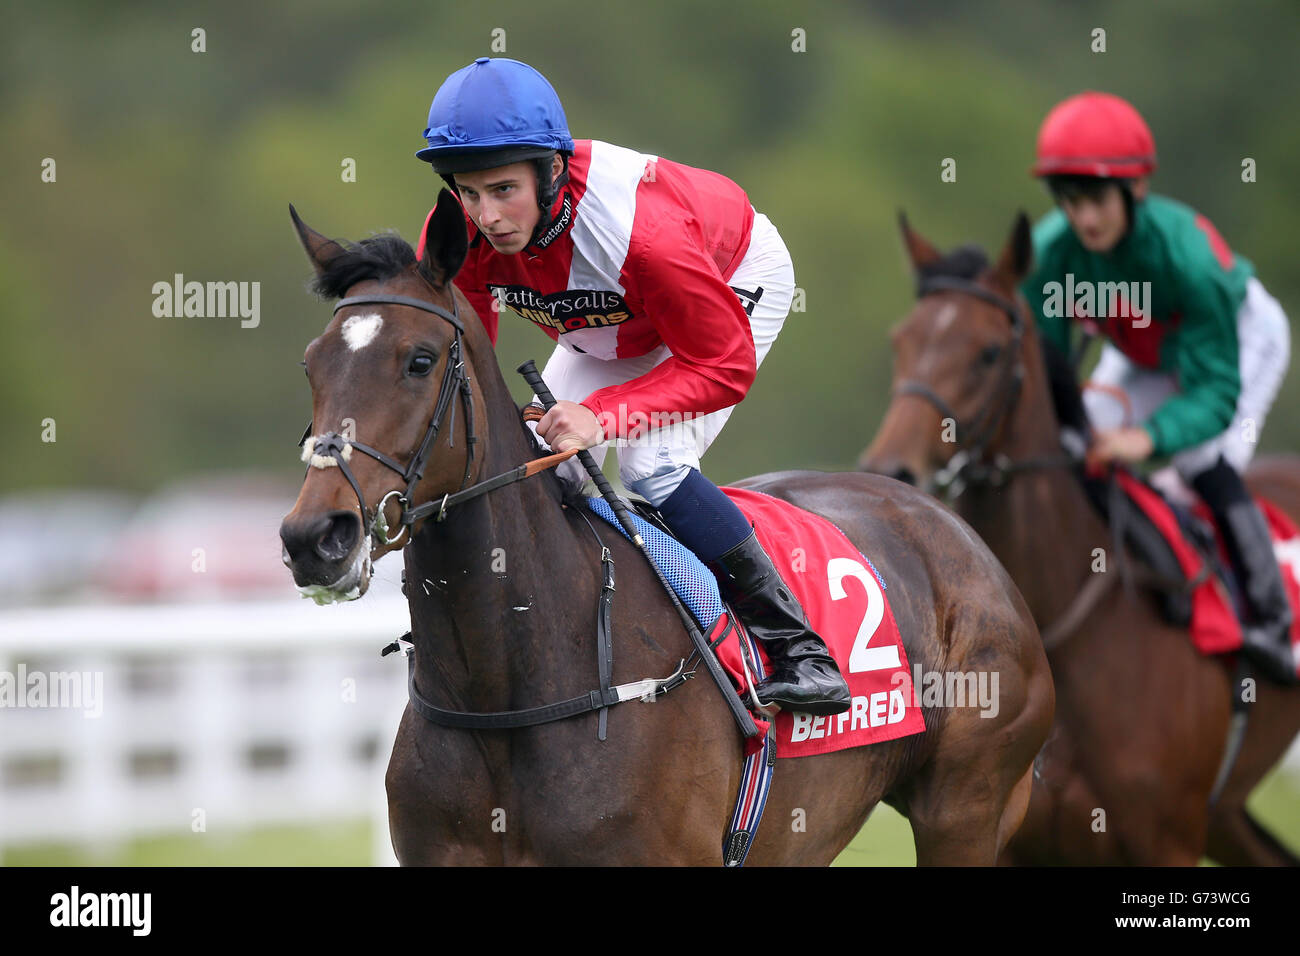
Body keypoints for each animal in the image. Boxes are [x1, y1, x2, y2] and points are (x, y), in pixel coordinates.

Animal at [278, 192, 1054, 865]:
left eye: (419, 360)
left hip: (967, 808)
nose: (315, 537)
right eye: (311, 364)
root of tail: (949, 525)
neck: (505, 692)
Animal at [858, 212, 1300, 865]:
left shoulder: (1169, 838)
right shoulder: (1005, 836)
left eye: (989, 352)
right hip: (1226, 815)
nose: (892, 468)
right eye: (901, 342)